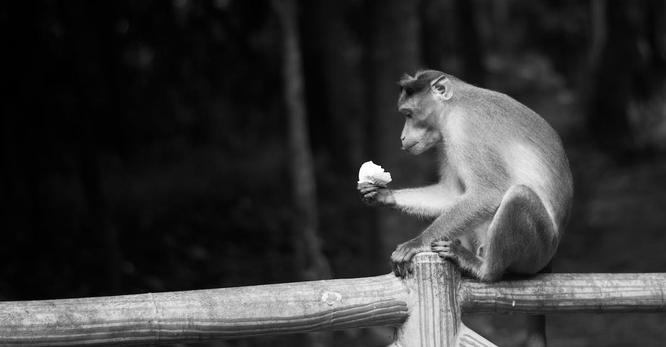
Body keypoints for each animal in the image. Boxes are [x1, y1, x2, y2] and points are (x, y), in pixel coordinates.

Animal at [358, 69, 572, 284]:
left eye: (409, 114)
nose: (402, 137)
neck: (454, 105)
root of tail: (549, 259)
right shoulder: (445, 139)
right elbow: (452, 194)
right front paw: (383, 194)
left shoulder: (465, 128)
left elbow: (489, 193)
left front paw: (416, 243)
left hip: (539, 251)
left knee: (518, 195)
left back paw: (483, 269)